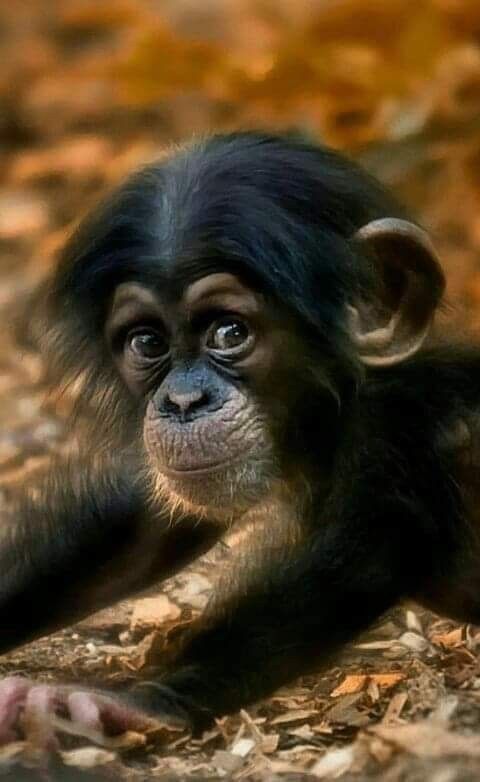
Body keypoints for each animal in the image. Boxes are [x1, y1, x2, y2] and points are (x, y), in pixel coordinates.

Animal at [0, 130, 478, 745]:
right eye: (147, 343)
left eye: (230, 332)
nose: (183, 402)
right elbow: (145, 523)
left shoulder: (395, 431)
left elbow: (350, 561)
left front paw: (129, 701)